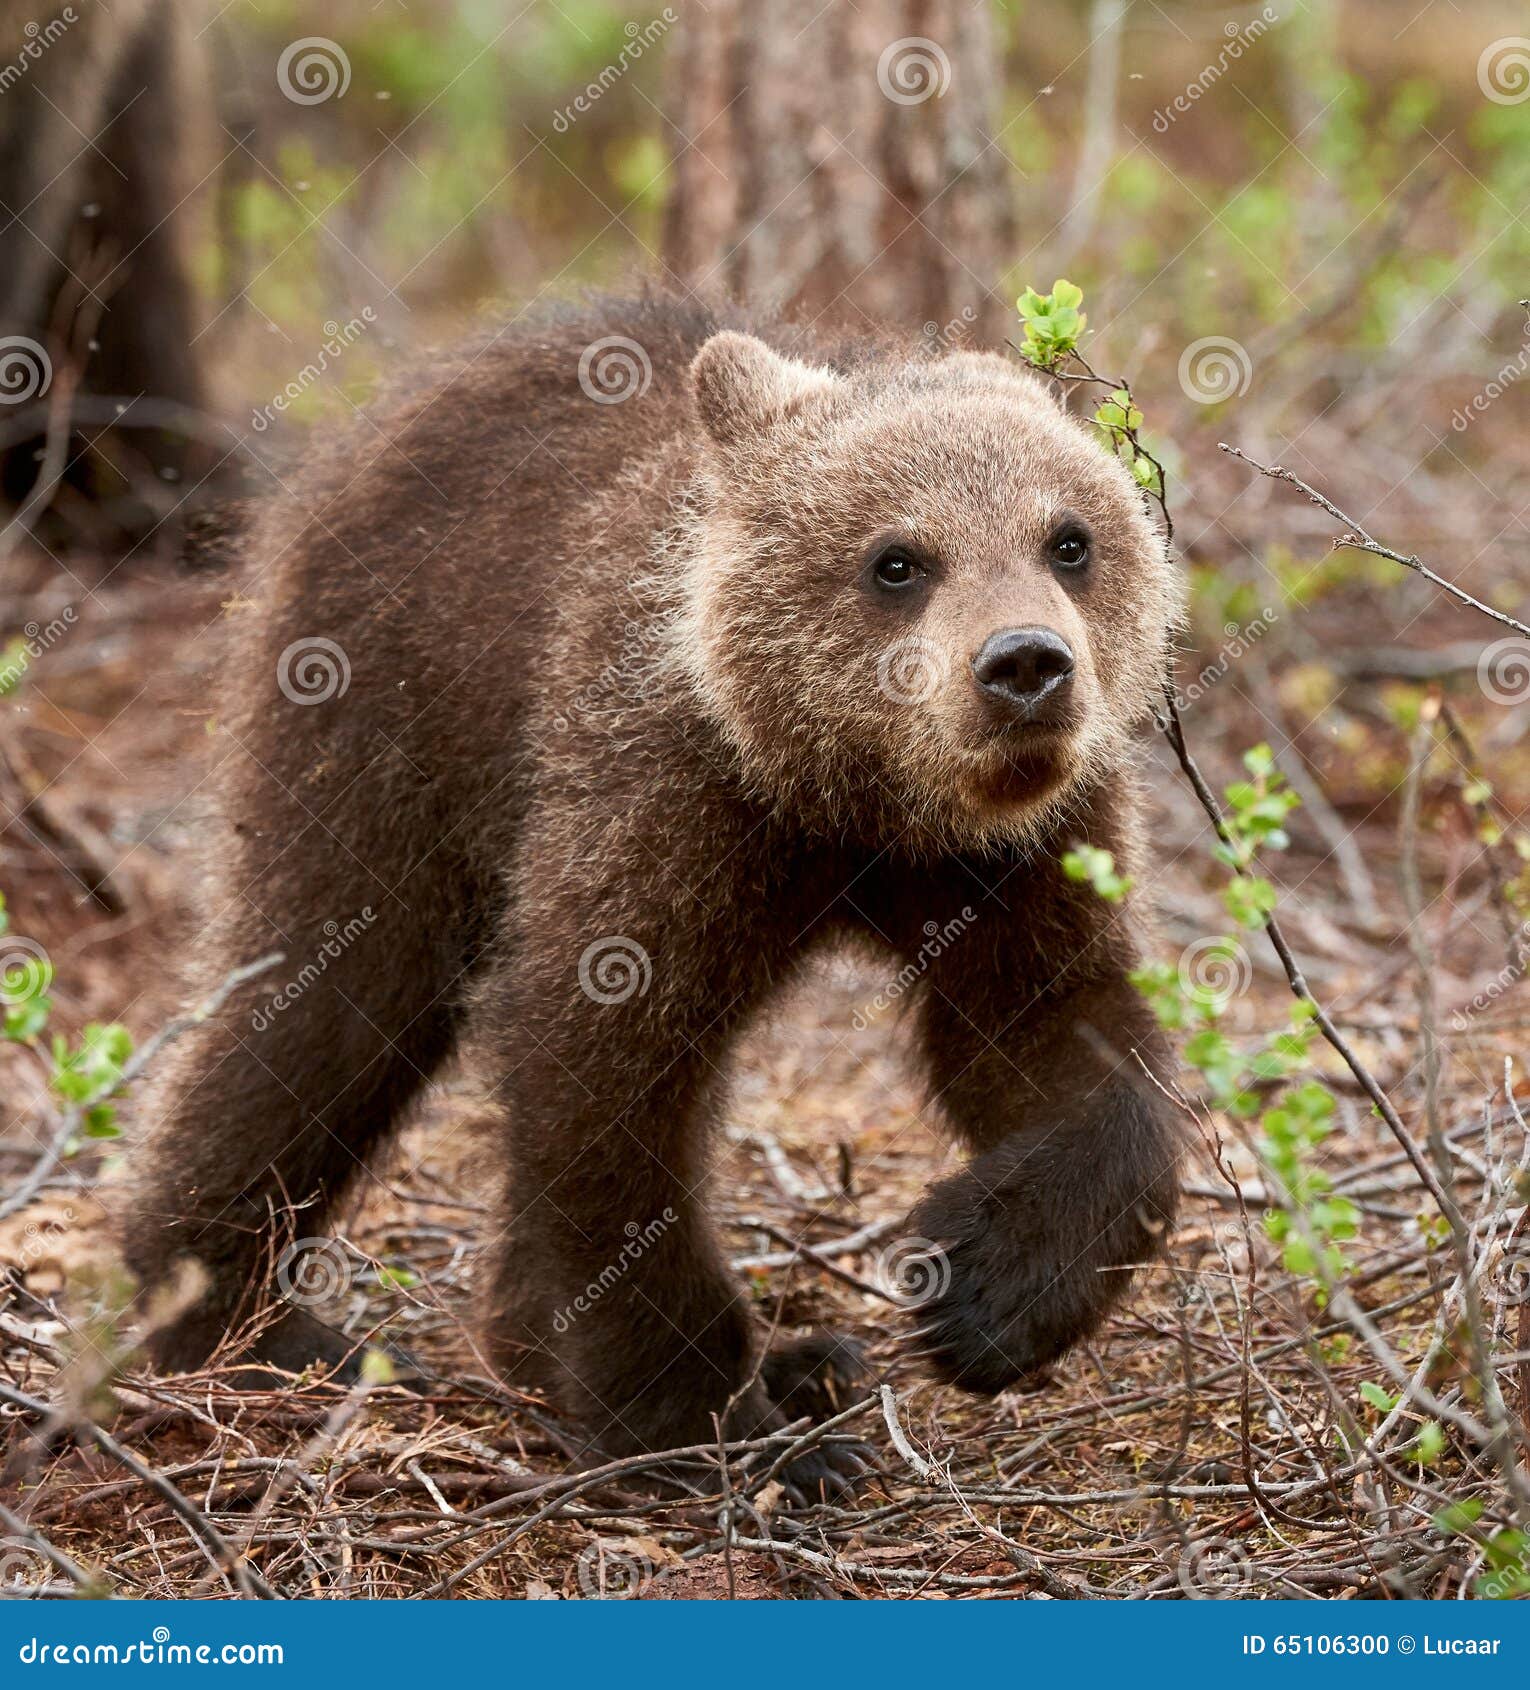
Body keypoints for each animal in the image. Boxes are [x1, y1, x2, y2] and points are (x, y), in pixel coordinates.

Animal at [119, 292, 1184, 1495]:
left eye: (1070, 538)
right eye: (898, 559)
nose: (1025, 665)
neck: (860, 810)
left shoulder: (1022, 853)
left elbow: (1057, 1033)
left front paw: (983, 1293)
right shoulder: (664, 795)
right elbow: (606, 1072)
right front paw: (718, 1421)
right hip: (383, 713)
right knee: (326, 996)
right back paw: (239, 1317)